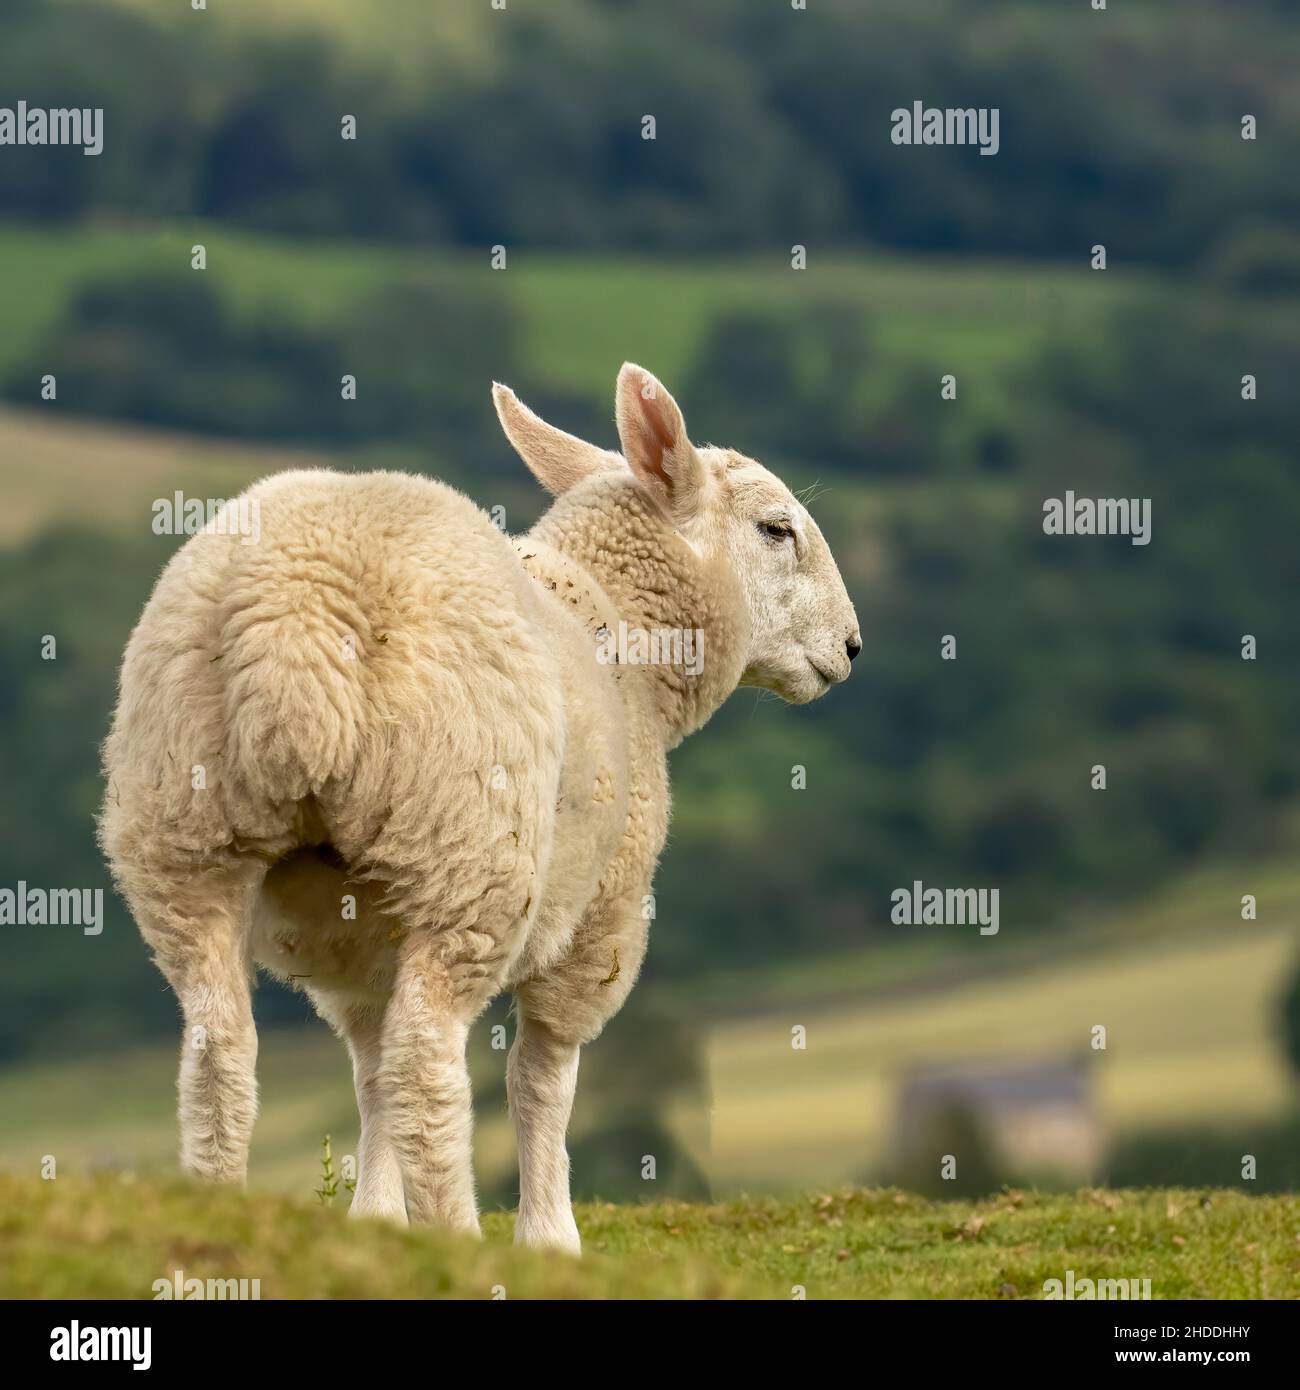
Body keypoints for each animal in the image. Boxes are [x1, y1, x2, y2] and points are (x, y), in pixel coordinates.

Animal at [99, 363, 860, 1253]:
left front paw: (377, 1221)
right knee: (426, 1061)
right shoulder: (603, 917)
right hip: (466, 848)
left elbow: (369, 1074)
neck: (623, 621)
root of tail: (297, 610)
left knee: (223, 1049)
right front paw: (550, 1238)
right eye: (777, 530)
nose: (851, 647)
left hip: (183, 836)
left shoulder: (353, 935)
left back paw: (218, 1212)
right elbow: (540, 1080)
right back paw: (457, 1234)